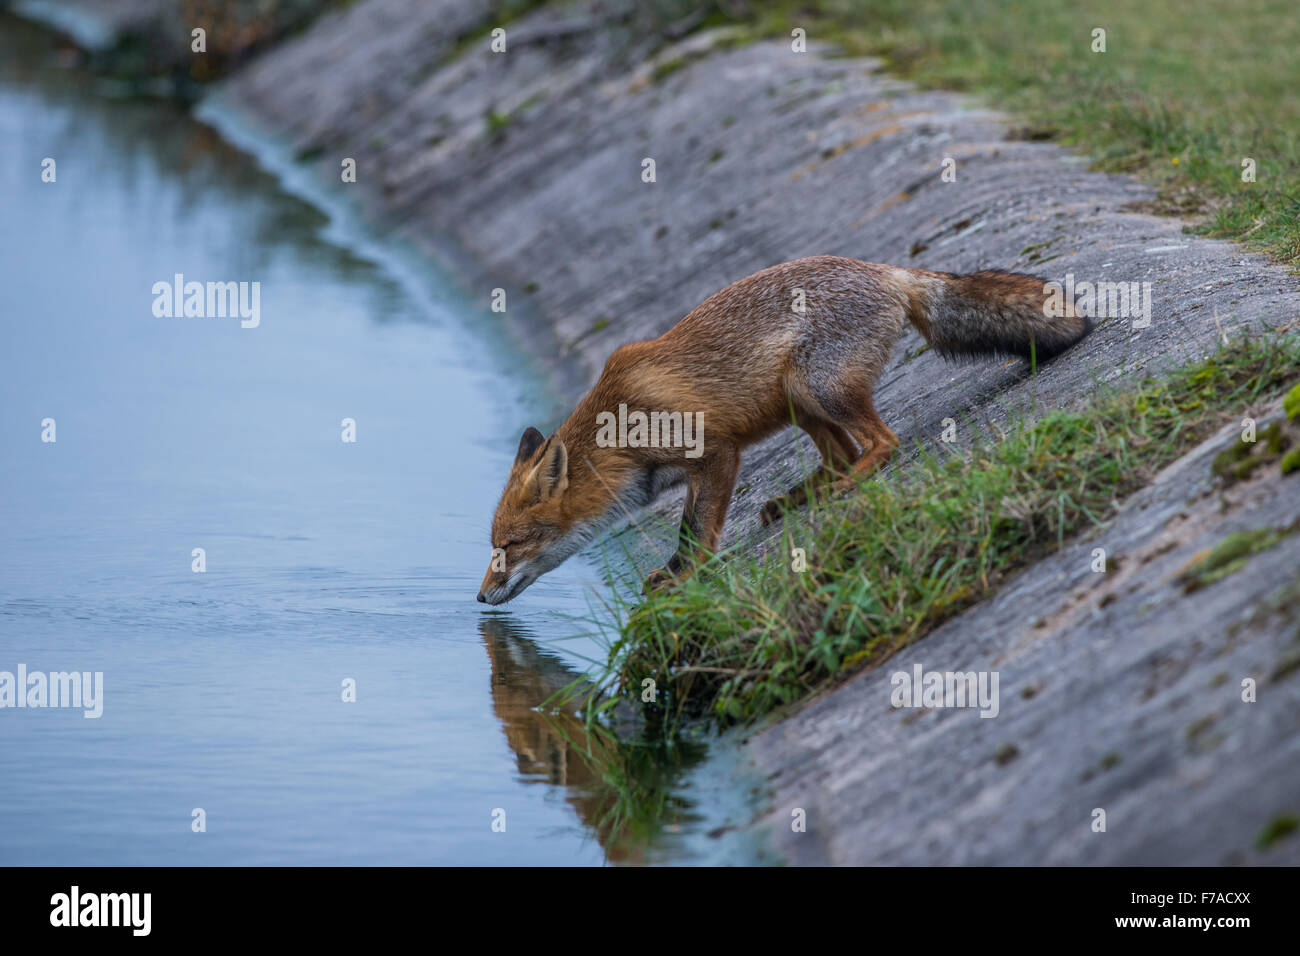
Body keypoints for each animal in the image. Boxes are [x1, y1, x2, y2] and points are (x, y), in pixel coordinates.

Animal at [477, 255, 1092, 605]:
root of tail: (886, 270)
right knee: (840, 453)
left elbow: (696, 529)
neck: (619, 432)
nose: (480, 599)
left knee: (882, 444)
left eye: (510, 546)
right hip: (799, 401)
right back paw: (799, 497)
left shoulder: (716, 453)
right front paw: (675, 574)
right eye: (494, 547)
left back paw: (847, 485)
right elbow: (688, 528)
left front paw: (689, 576)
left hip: (816, 385)